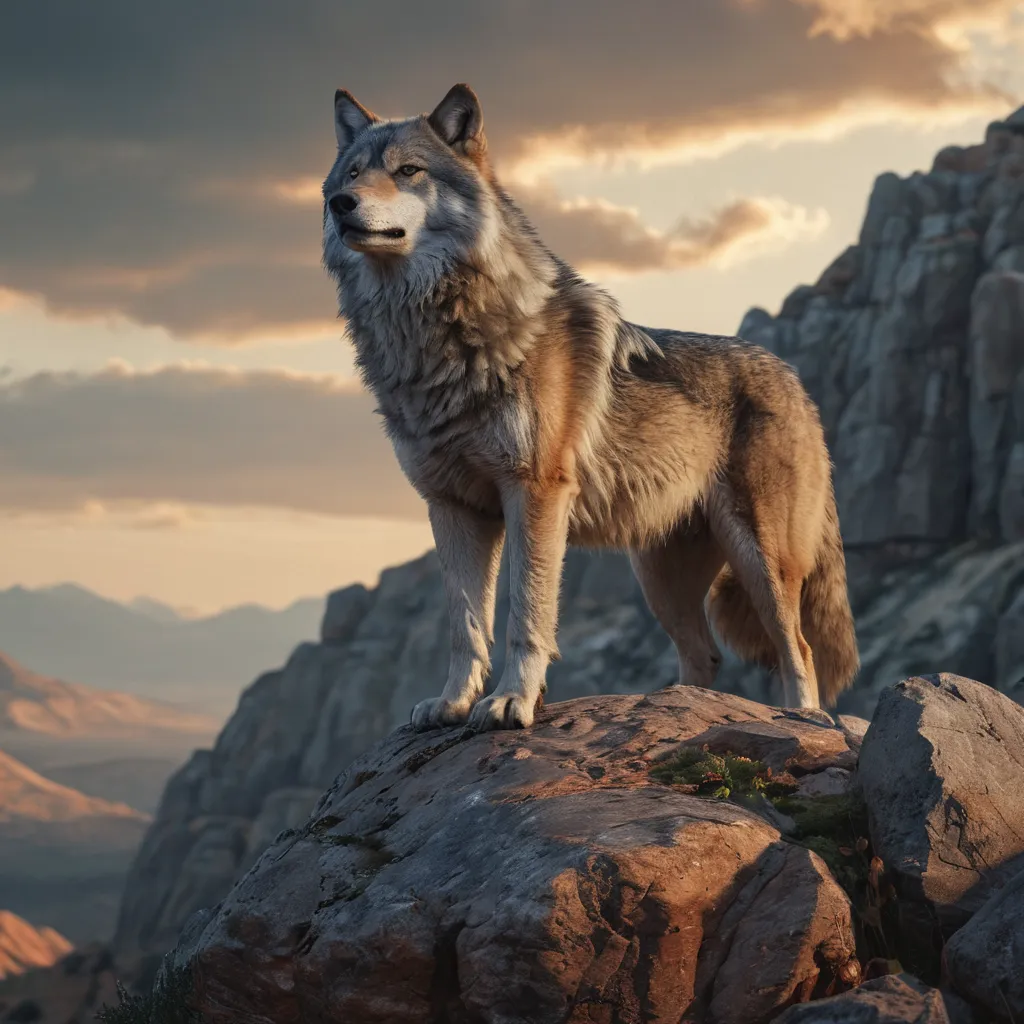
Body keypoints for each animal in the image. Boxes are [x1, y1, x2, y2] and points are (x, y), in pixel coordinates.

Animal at [321, 83, 859, 731]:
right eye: (352, 173)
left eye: (408, 172)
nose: (342, 203)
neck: (433, 335)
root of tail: (794, 379)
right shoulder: (451, 507)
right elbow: (465, 626)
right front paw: (452, 704)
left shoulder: (534, 492)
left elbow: (526, 614)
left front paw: (512, 701)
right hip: (659, 578)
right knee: (703, 654)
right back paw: (674, 708)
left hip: (761, 559)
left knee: (797, 647)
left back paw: (801, 718)